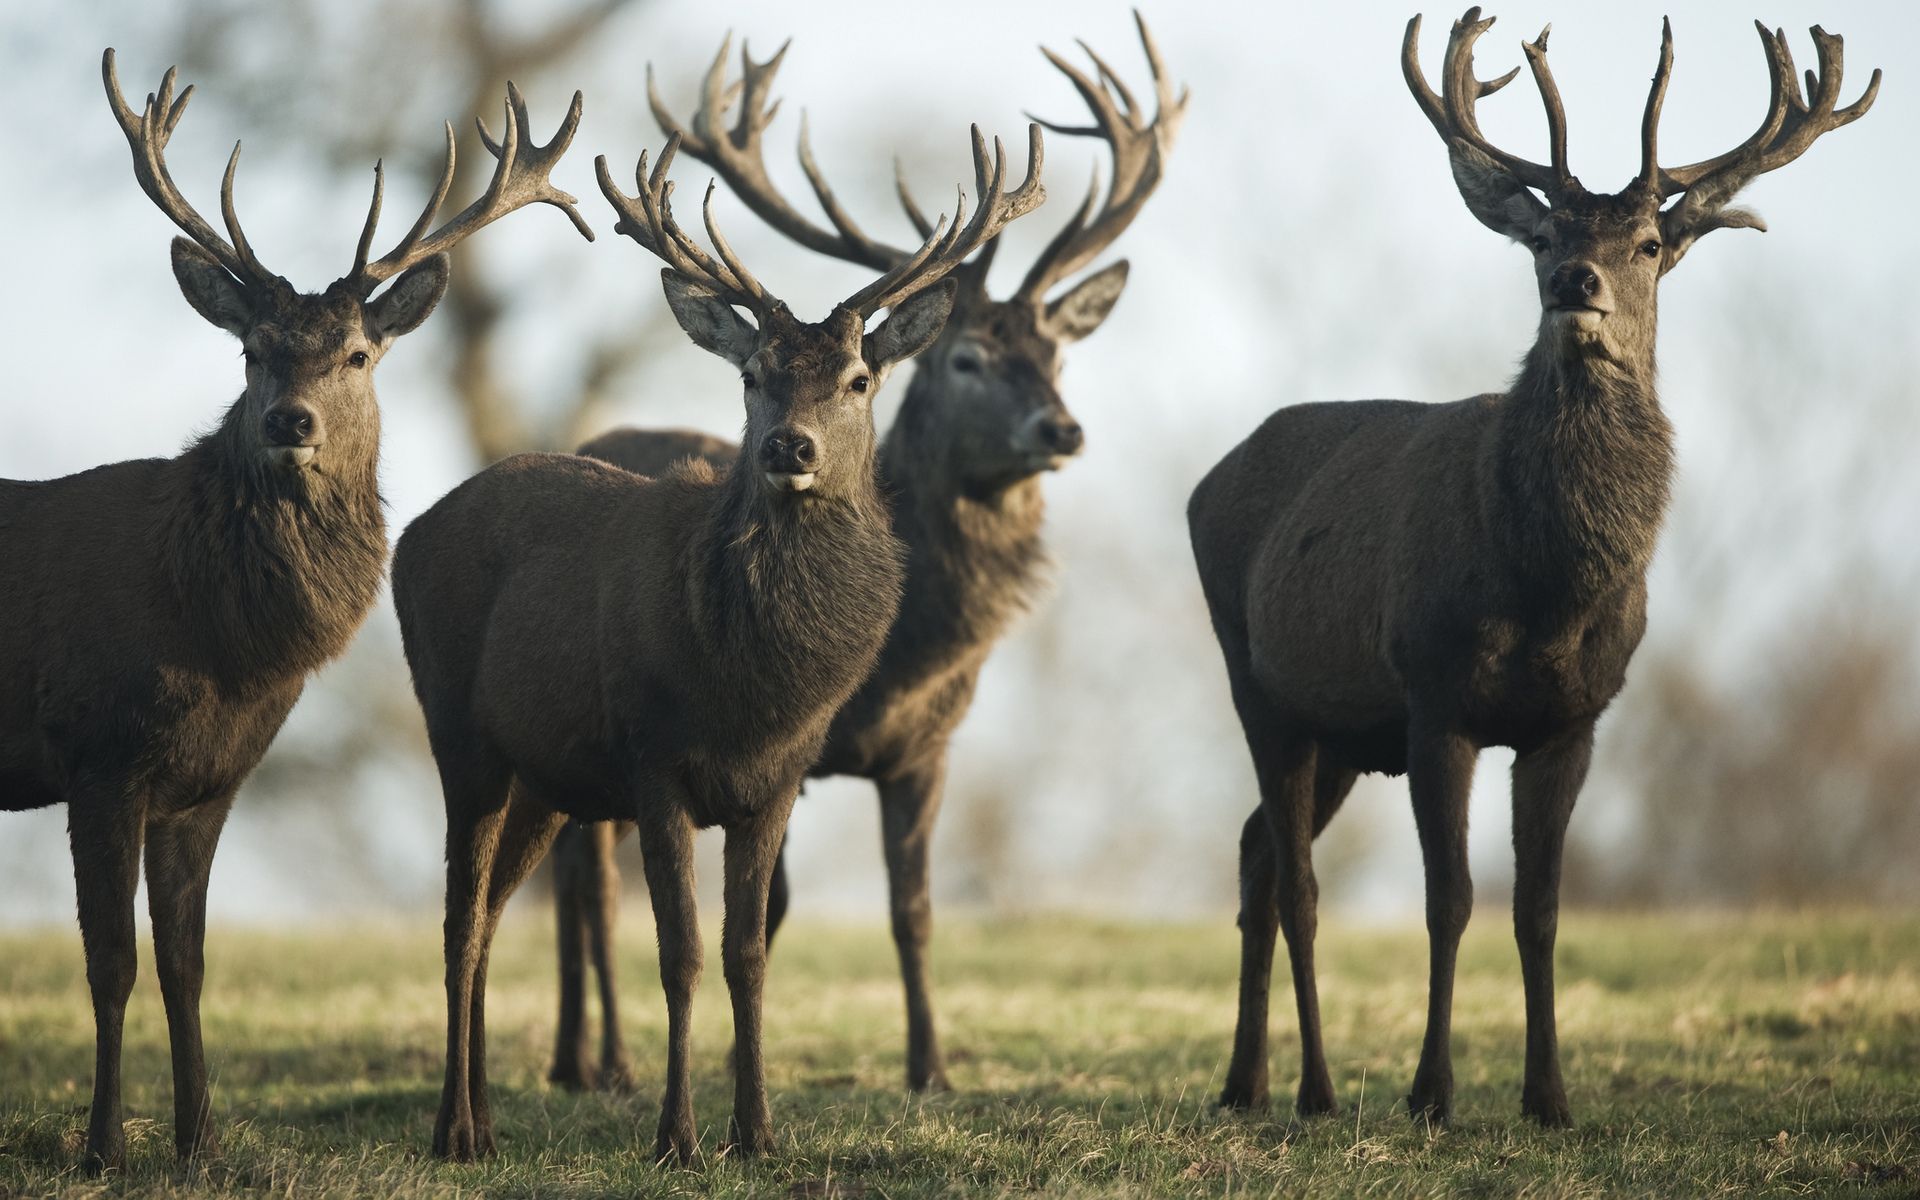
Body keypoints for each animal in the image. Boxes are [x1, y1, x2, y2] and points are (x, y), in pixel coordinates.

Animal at [0, 53, 590, 1174]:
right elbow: (111, 966)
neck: (222, 643)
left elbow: (186, 963)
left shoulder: (207, 782)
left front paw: (197, 1143)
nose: (290, 421)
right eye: (252, 351)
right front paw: (101, 1150)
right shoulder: (98, 752)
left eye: (358, 353)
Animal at [390, 117, 1044, 1162]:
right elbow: (682, 952)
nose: (790, 447)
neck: (753, 688)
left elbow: (748, 952)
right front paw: (677, 1138)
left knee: (489, 917)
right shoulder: (652, 760)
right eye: (753, 376)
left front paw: (759, 1133)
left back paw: (486, 1116)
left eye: (860, 377)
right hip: (459, 733)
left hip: (544, 778)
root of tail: (409, 533)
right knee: (458, 919)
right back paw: (457, 1128)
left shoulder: (777, 778)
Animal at [540, 16, 1184, 1098]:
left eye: (1057, 353)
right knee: (584, 881)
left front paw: (931, 1069)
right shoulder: (780, 752)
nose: (1061, 428)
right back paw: (598, 1062)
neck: (909, 657)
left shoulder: (928, 748)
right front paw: (738, 1067)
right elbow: (768, 914)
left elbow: (911, 911)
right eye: (966, 358)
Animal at [1188, 9, 1878, 1128]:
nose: (1575, 285)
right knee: (1296, 882)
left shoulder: (1575, 718)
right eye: (1546, 237)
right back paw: (1315, 1089)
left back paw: (1244, 1083)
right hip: (1260, 684)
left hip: (1342, 729)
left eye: (1649, 242)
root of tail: (1207, 482)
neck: (1549, 588)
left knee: (1255, 853)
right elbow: (1450, 901)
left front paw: (1549, 1096)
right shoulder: (1436, 699)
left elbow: (1542, 909)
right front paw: (1431, 1093)